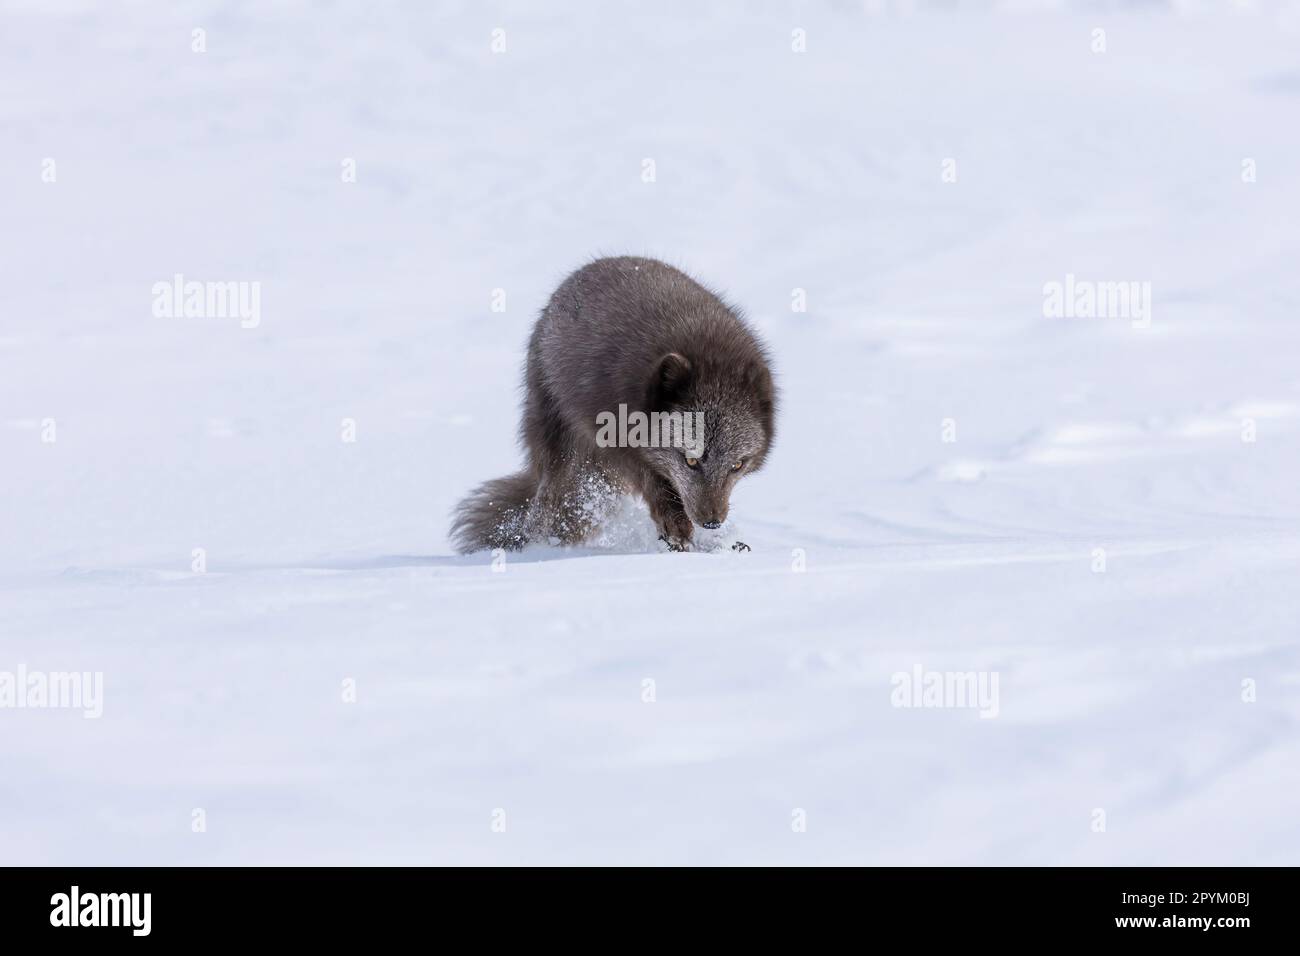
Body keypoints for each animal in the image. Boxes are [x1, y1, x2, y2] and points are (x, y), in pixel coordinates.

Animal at [451, 256, 777, 553]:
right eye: (691, 461)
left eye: (737, 465)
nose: (712, 522)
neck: (709, 354)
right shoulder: (618, 442)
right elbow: (657, 485)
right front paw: (677, 531)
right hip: (558, 446)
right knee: (547, 505)